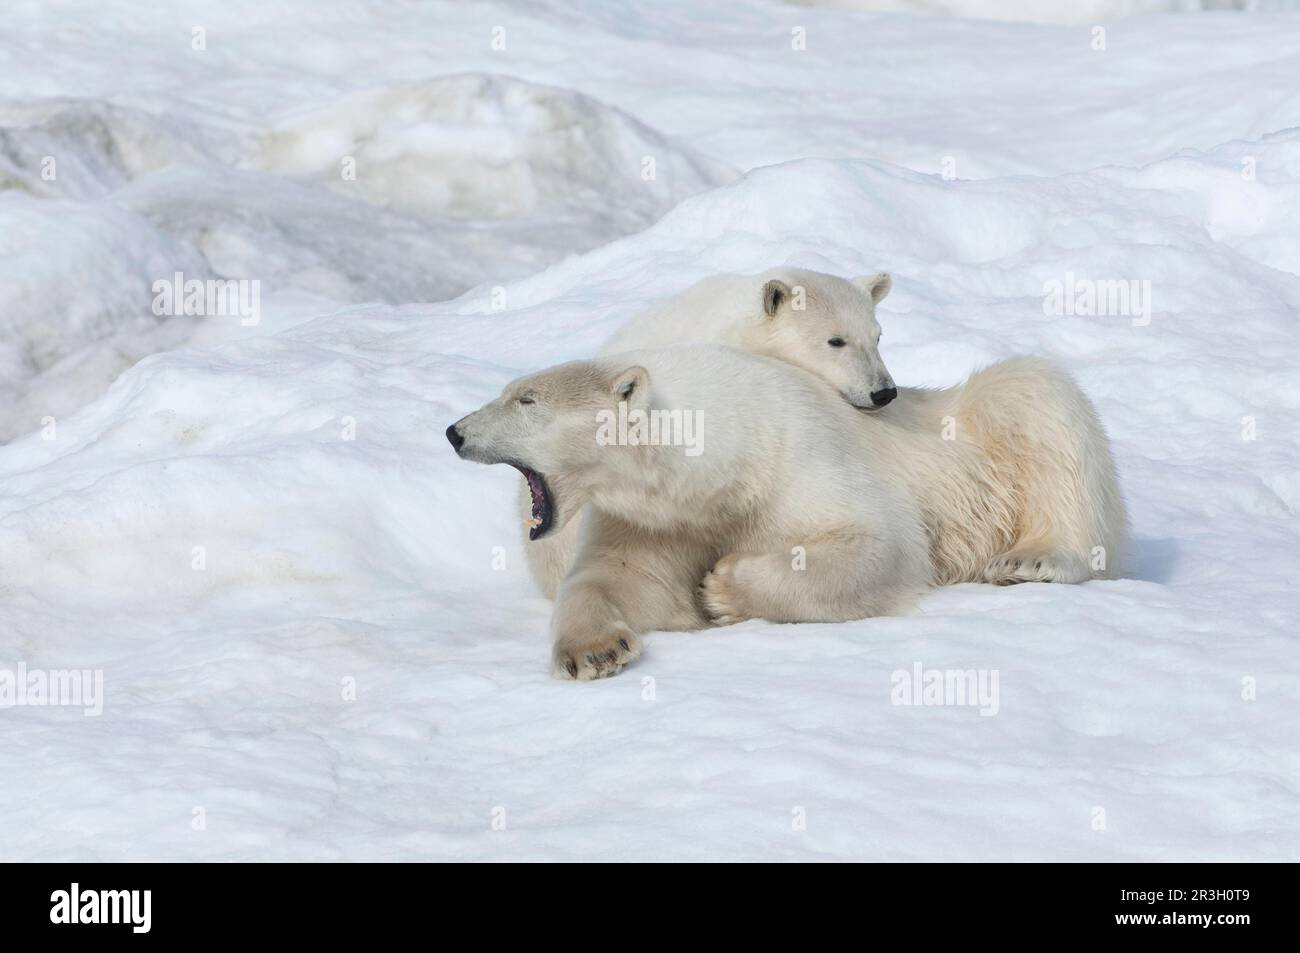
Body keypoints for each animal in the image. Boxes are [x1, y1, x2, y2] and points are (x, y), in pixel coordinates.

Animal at [448, 346, 934, 679]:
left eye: (526, 401)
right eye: (511, 393)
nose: (455, 432)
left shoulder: (804, 459)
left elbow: (882, 545)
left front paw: (720, 588)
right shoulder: (659, 522)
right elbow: (620, 577)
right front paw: (596, 651)